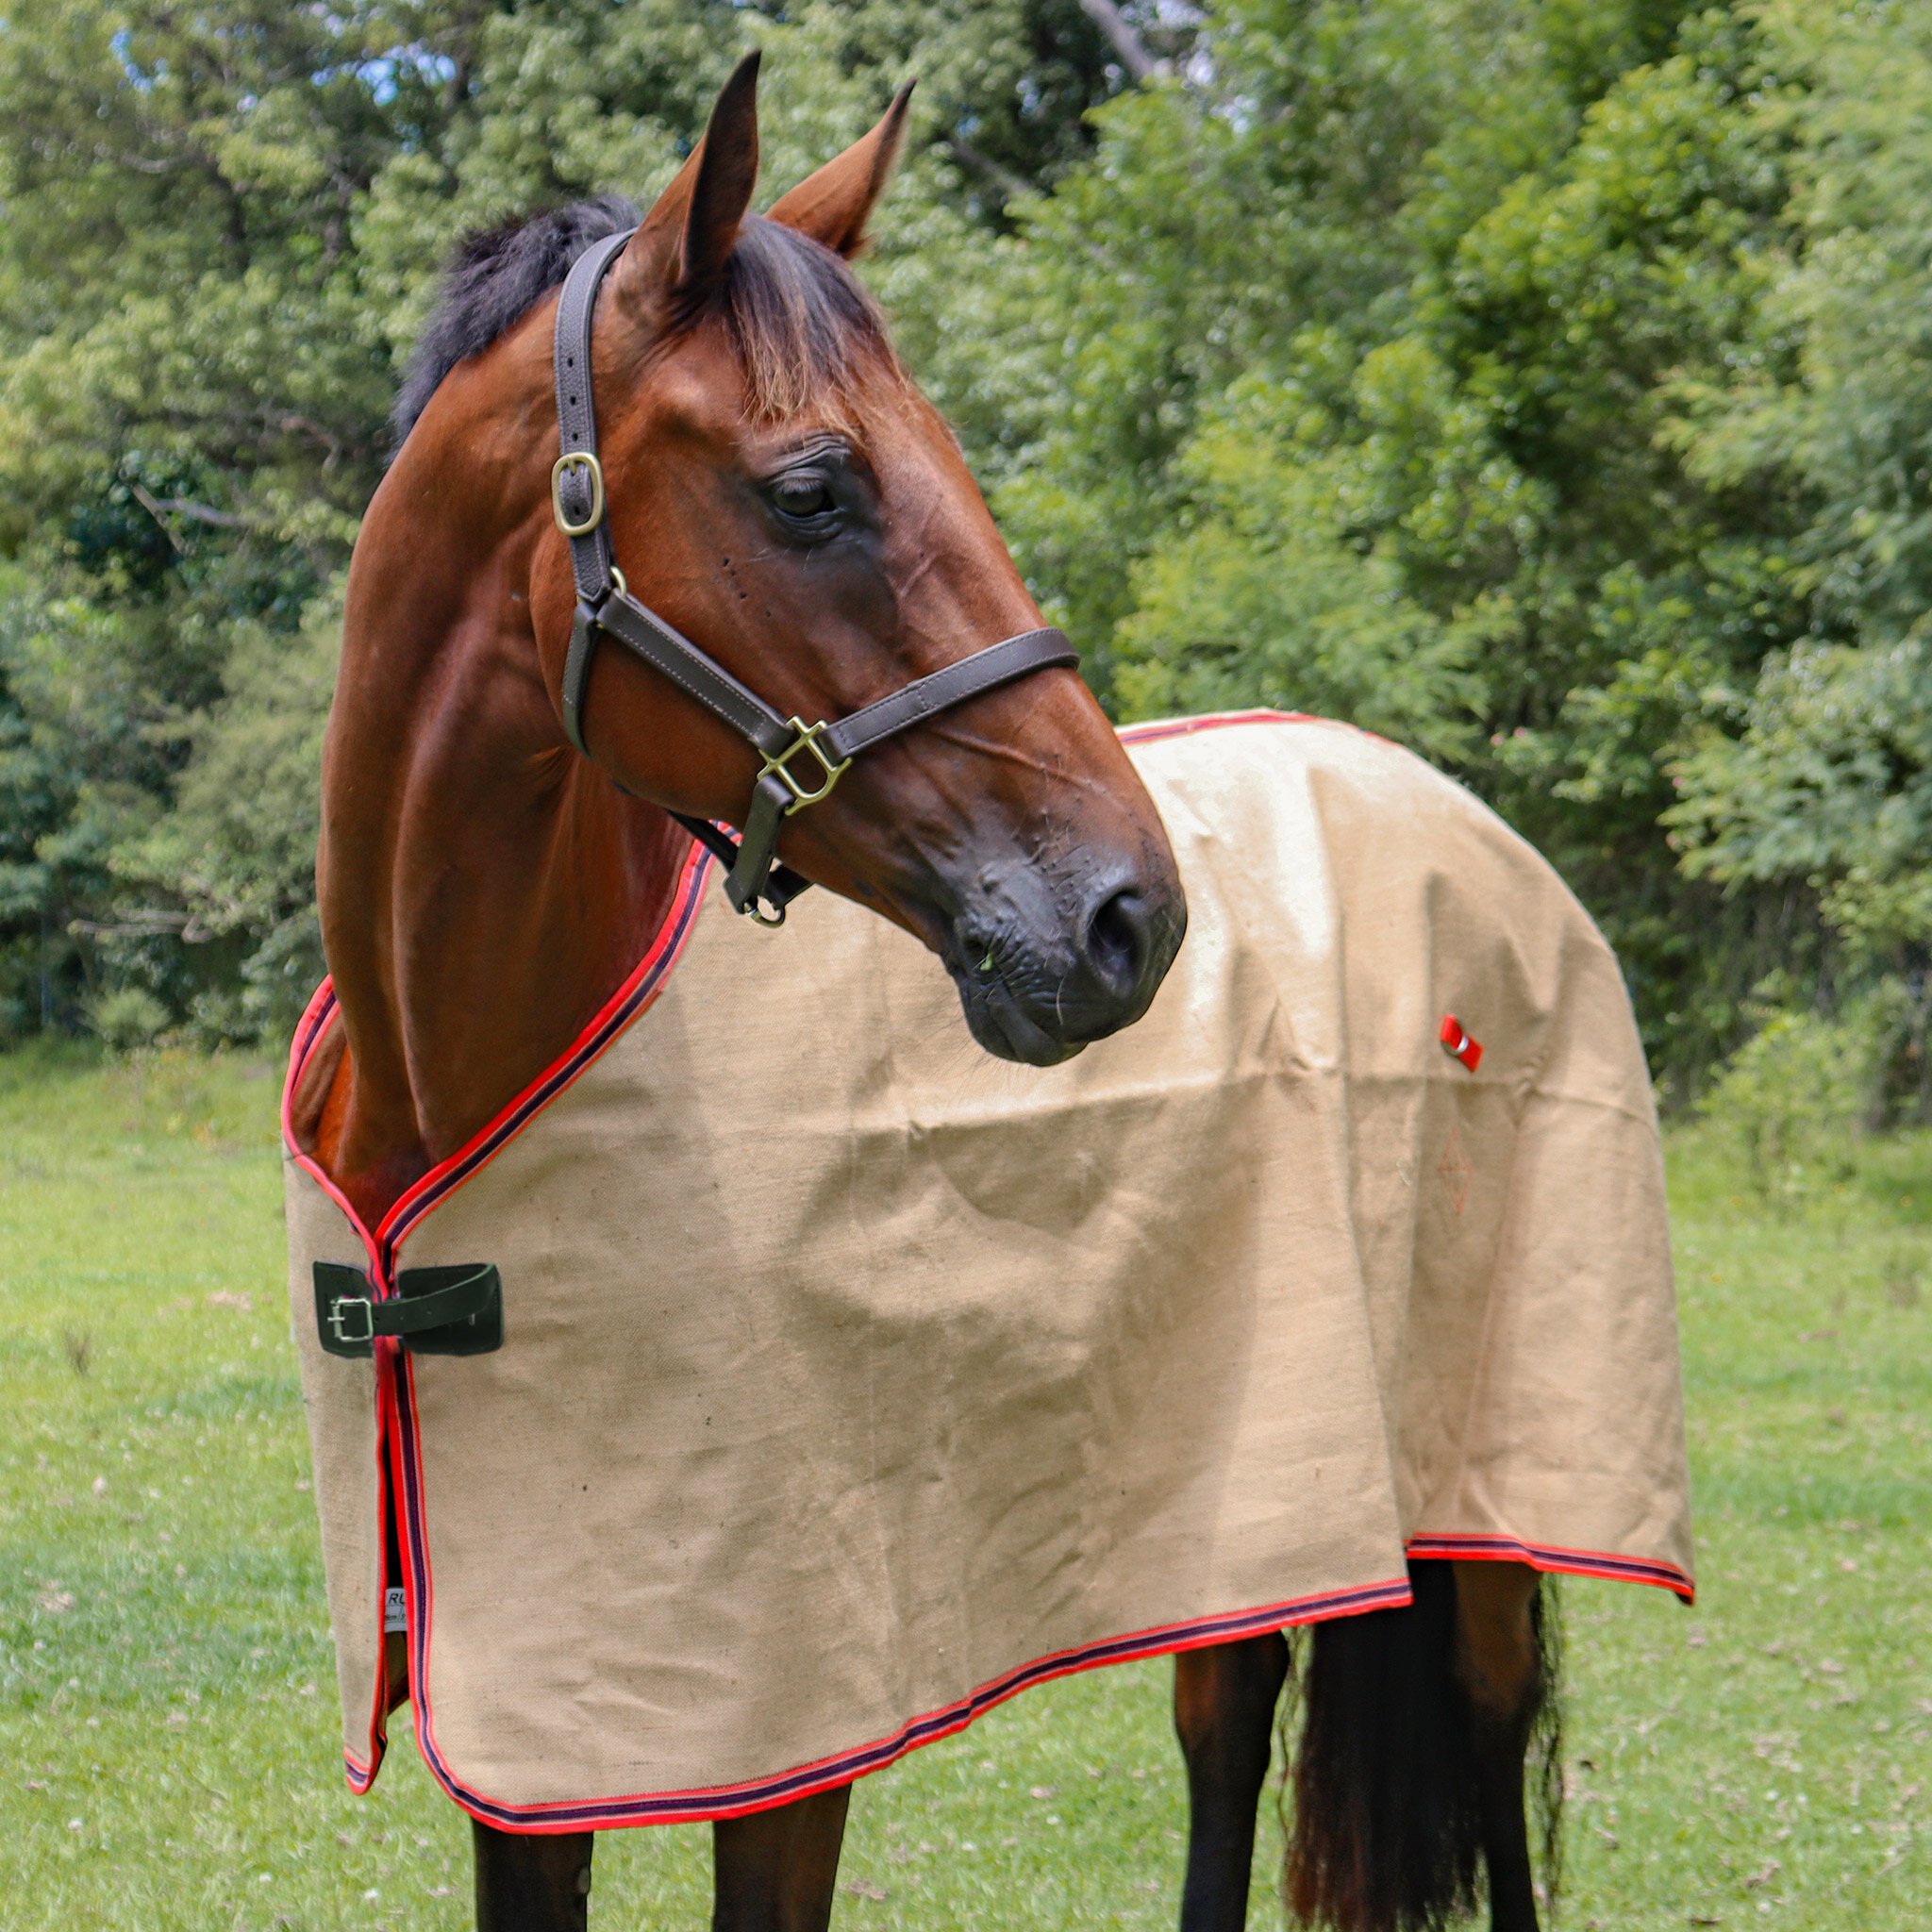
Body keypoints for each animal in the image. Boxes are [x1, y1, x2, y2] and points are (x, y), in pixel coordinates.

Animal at [287, 54, 1642, 1932]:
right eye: (811, 489)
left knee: (1487, 1719)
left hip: (1497, 1476)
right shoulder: (532, 1735)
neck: (464, 1072)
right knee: (1229, 1713)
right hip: (1264, 1489)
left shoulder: (790, 1742)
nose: (1128, 917)